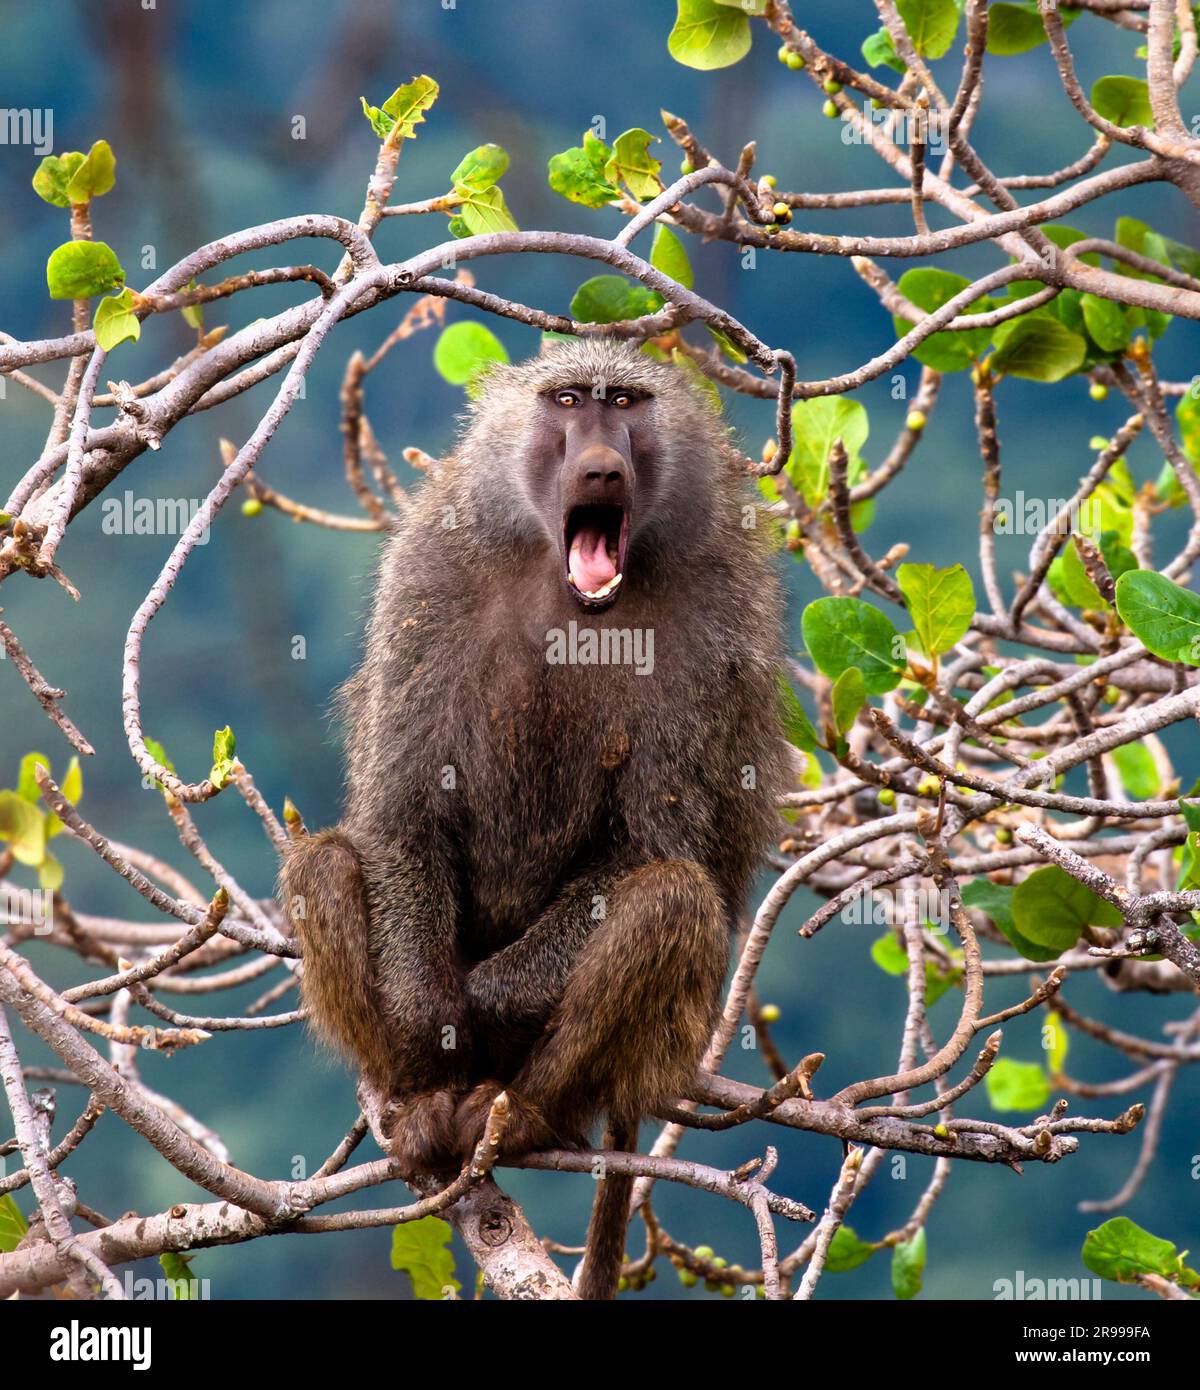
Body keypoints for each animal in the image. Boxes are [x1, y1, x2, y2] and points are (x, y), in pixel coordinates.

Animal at [282, 337, 786, 1298]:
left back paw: (521, 1116)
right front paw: (431, 1017)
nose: (601, 466)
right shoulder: (428, 579)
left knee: (670, 898)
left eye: (624, 401)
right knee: (326, 862)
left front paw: (482, 1001)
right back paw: (418, 1102)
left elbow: (647, 846)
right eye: (566, 401)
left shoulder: (711, 629)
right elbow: (400, 812)